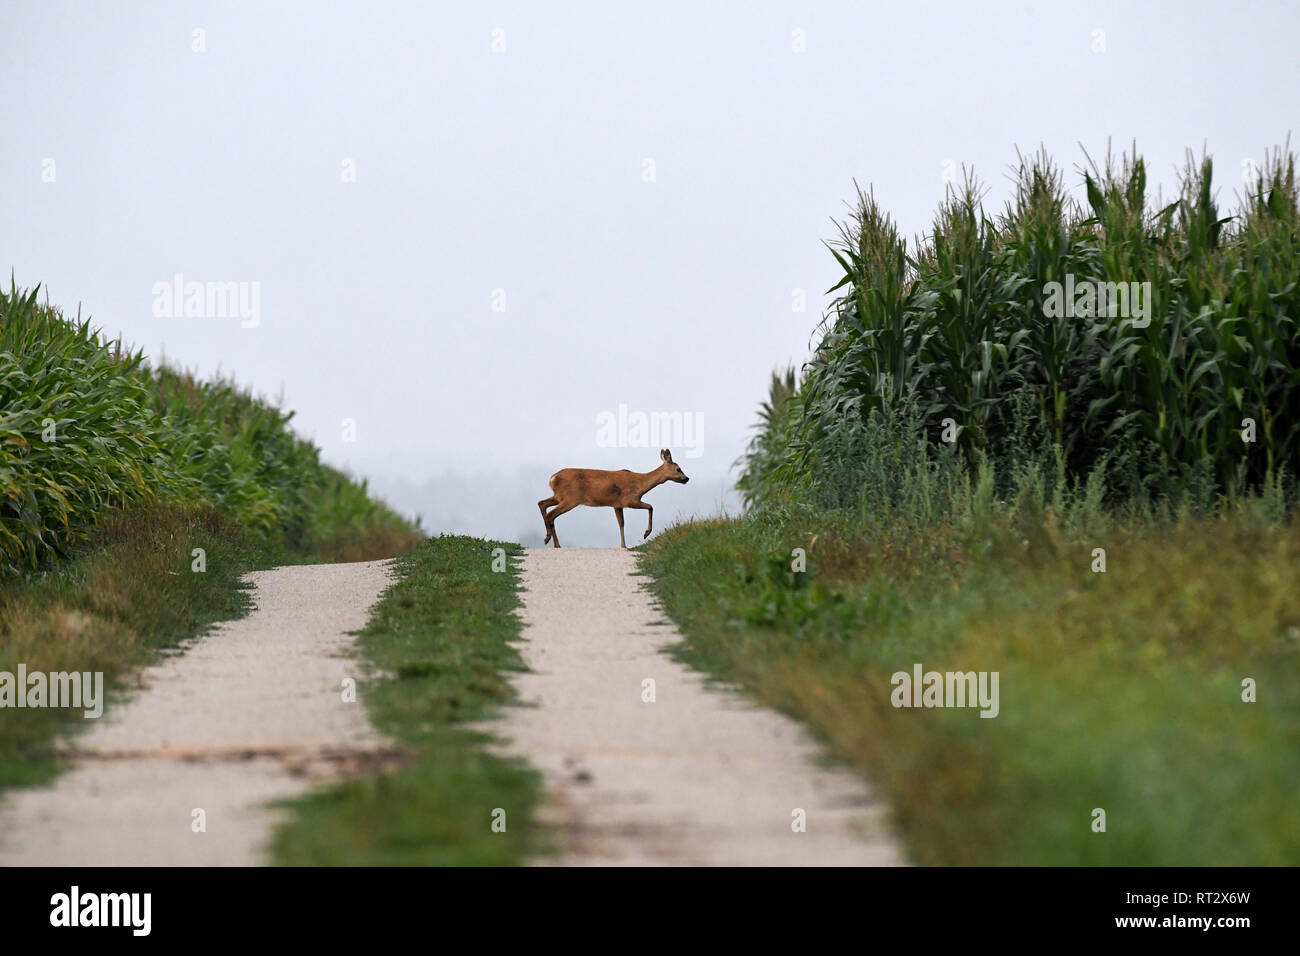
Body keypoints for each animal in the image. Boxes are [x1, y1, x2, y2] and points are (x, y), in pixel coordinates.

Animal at [538, 449, 690, 549]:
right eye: (678, 469)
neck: (641, 484)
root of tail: (552, 478)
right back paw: (549, 540)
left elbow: (621, 523)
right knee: (551, 514)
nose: (686, 478)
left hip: (559, 497)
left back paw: (554, 542)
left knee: (542, 504)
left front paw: (623, 545)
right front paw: (646, 534)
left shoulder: (617, 504)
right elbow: (650, 507)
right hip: (570, 499)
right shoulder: (629, 500)